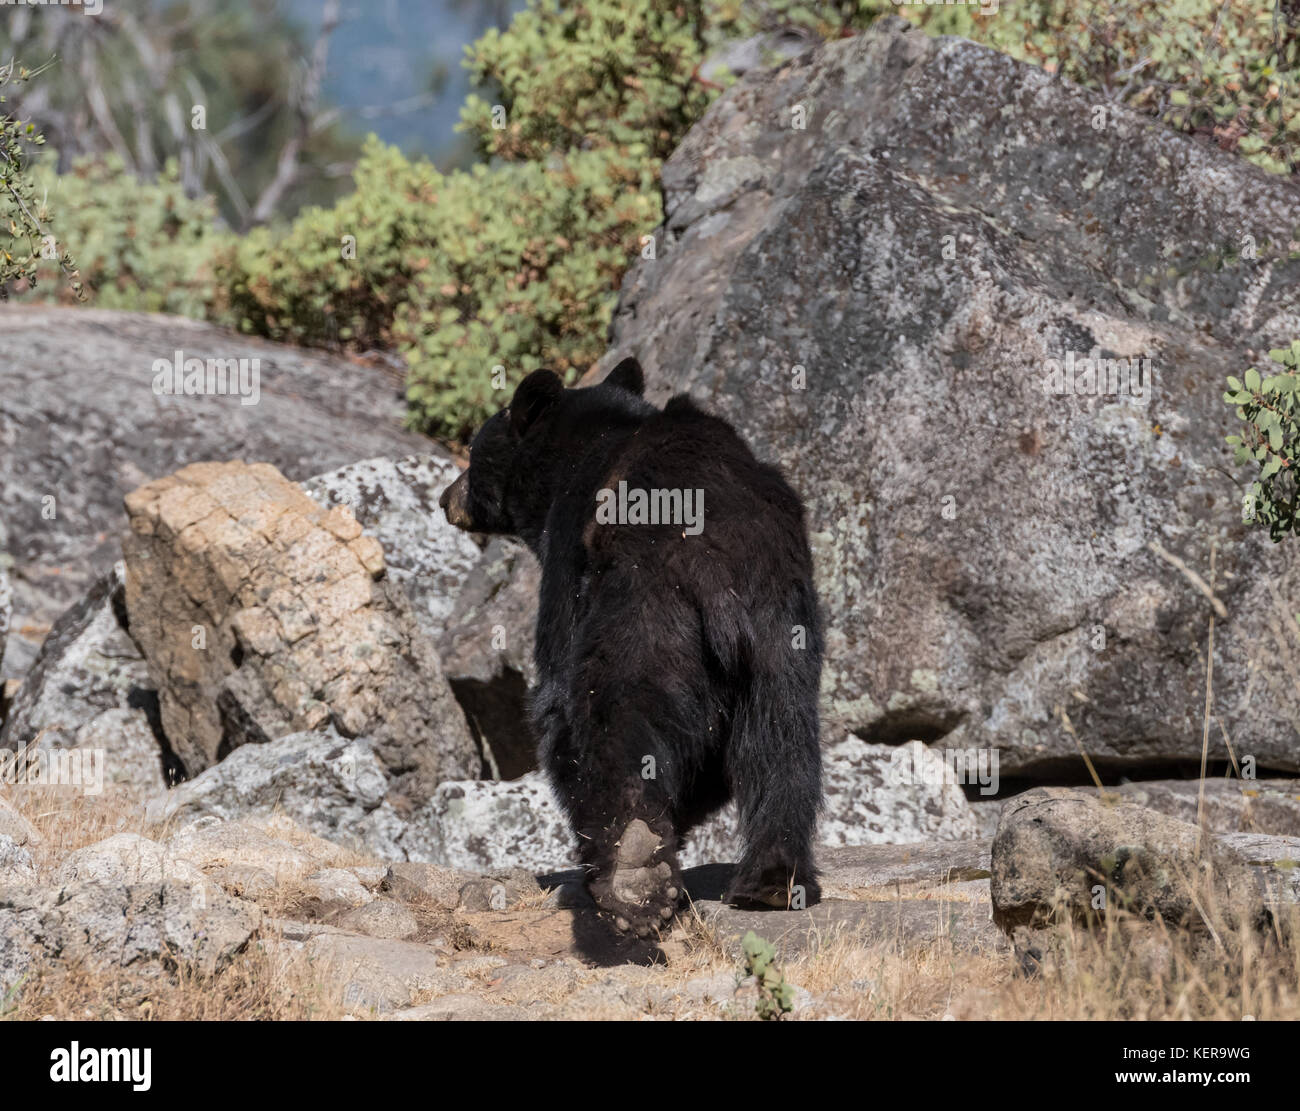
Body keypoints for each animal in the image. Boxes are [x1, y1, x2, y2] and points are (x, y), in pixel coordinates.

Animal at [439, 357, 823, 936]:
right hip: (782, 624)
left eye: (472, 449)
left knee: (613, 710)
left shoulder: (567, 554)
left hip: (644, 613)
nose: (446, 497)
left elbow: (556, 695)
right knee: (784, 735)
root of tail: (717, 559)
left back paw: (633, 874)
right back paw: (771, 881)